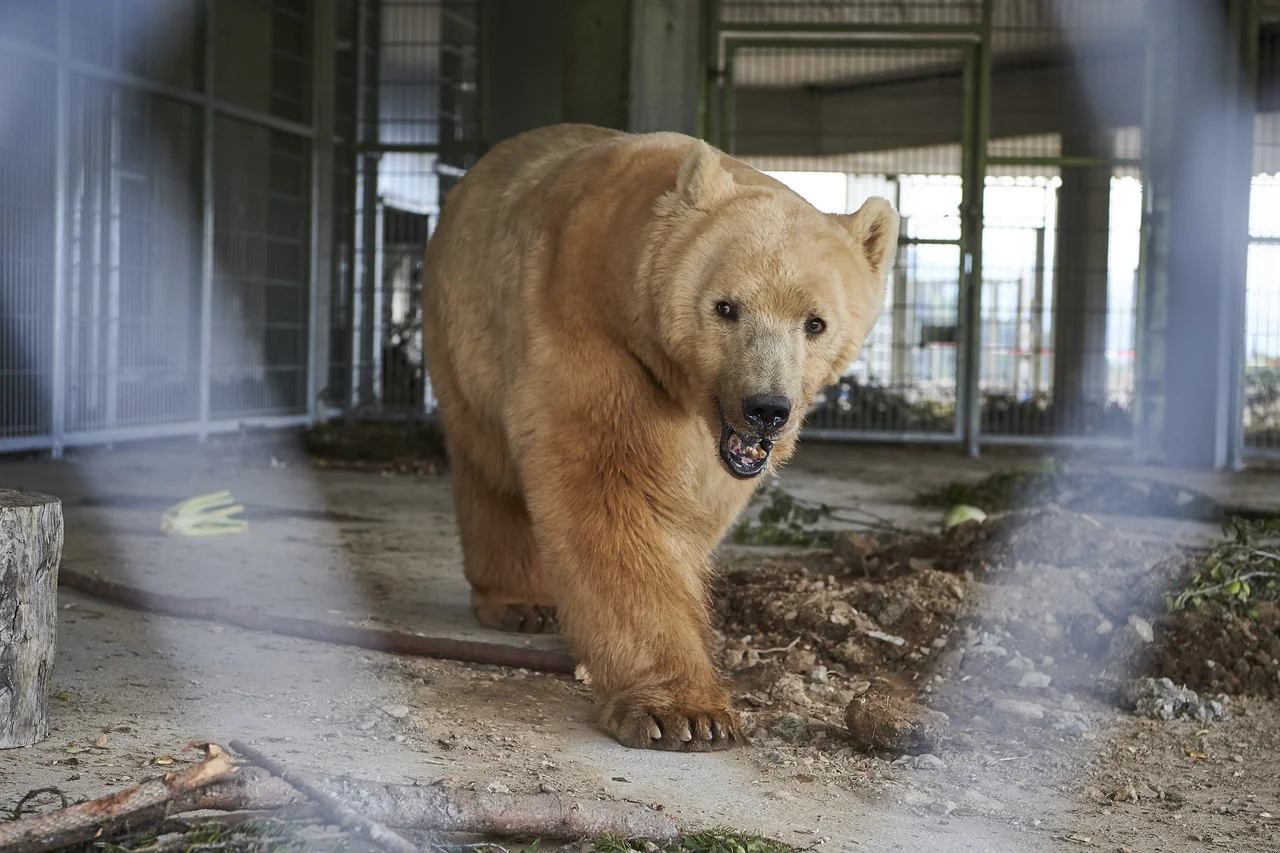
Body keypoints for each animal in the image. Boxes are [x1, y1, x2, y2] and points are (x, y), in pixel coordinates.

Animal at [421, 123, 898, 751]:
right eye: (726, 307)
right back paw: (519, 600)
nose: (766, 409)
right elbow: (610, 488)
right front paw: (684, 713)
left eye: (815, 322)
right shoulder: (583, 324)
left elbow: (691, 509)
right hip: (463, 329)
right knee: (488, 464)